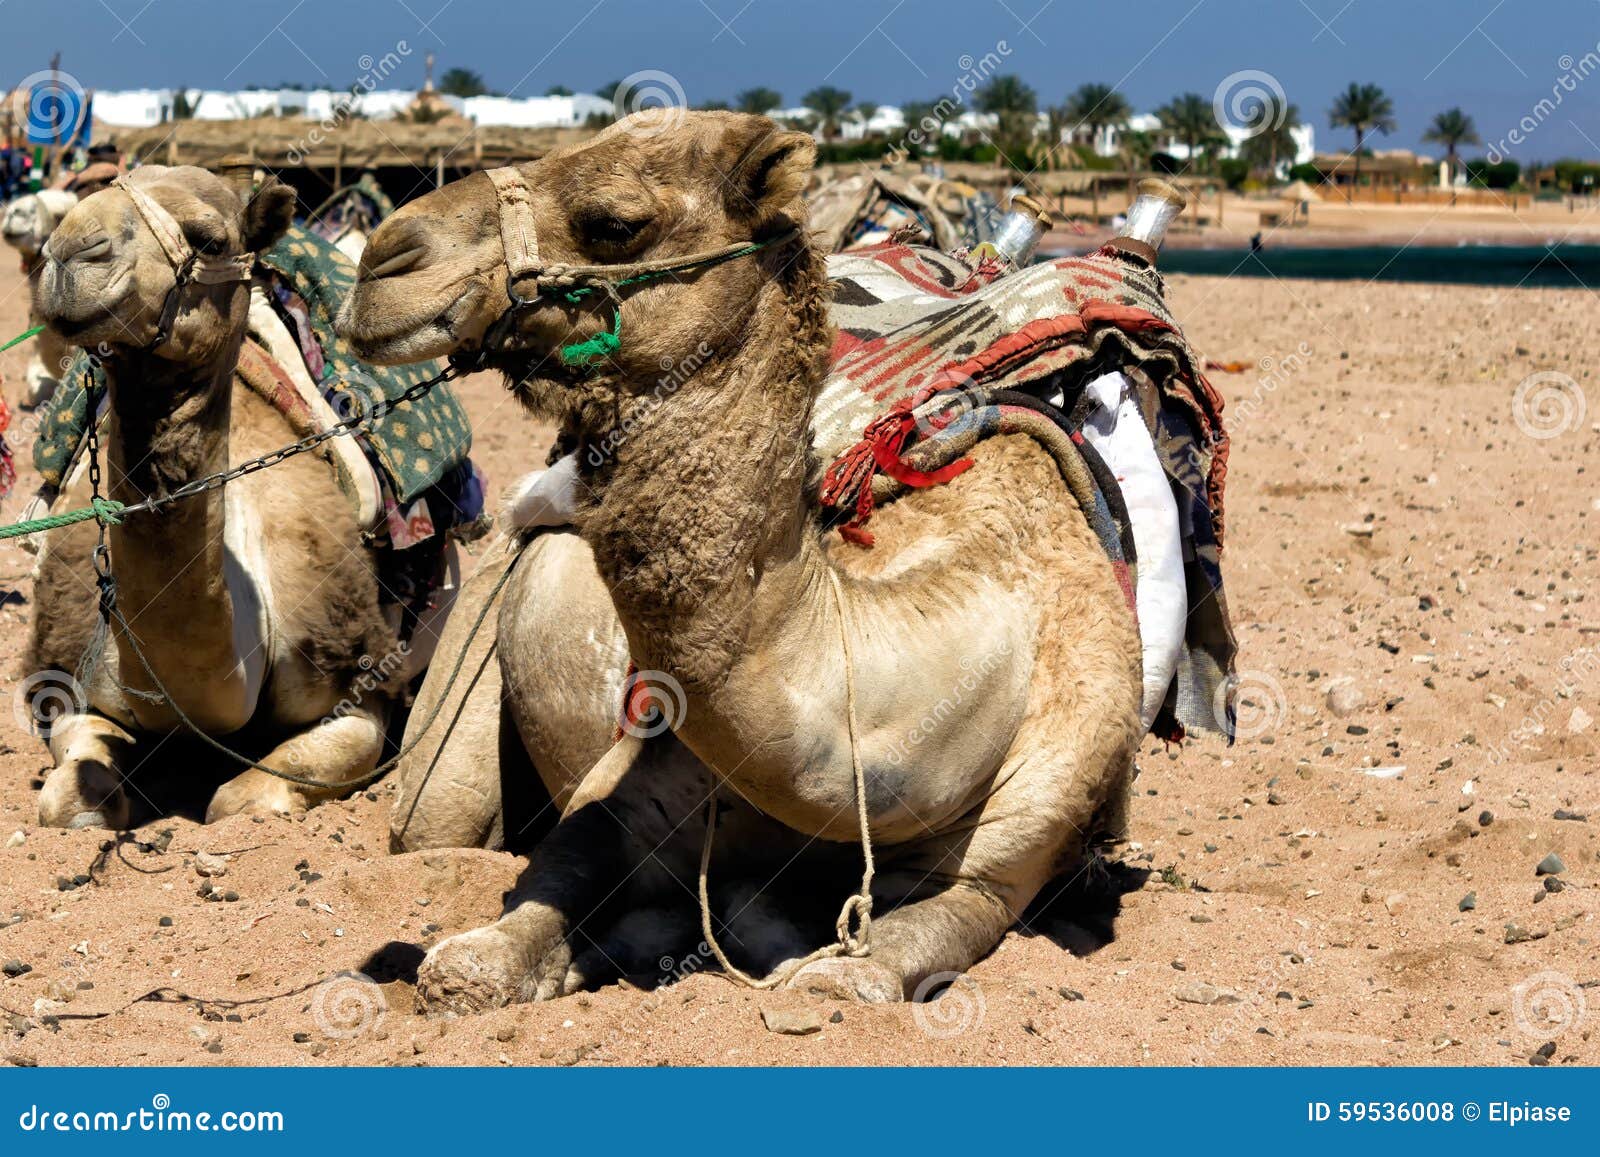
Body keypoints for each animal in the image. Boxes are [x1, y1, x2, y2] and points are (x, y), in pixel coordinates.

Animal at [26, 165, 404, 828]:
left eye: (208, 239)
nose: (69, 251)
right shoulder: (76, 681)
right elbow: (71, 801)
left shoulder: (361, 686)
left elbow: (239, 799)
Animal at [340, 111, 1142, 1010]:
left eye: (614, 222)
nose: (384, 258)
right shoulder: (635, 783)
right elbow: (538, 894)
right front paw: (494, 958)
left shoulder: (1006, 855)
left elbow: (871, 968)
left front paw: (790, 954)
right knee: (435, 817)